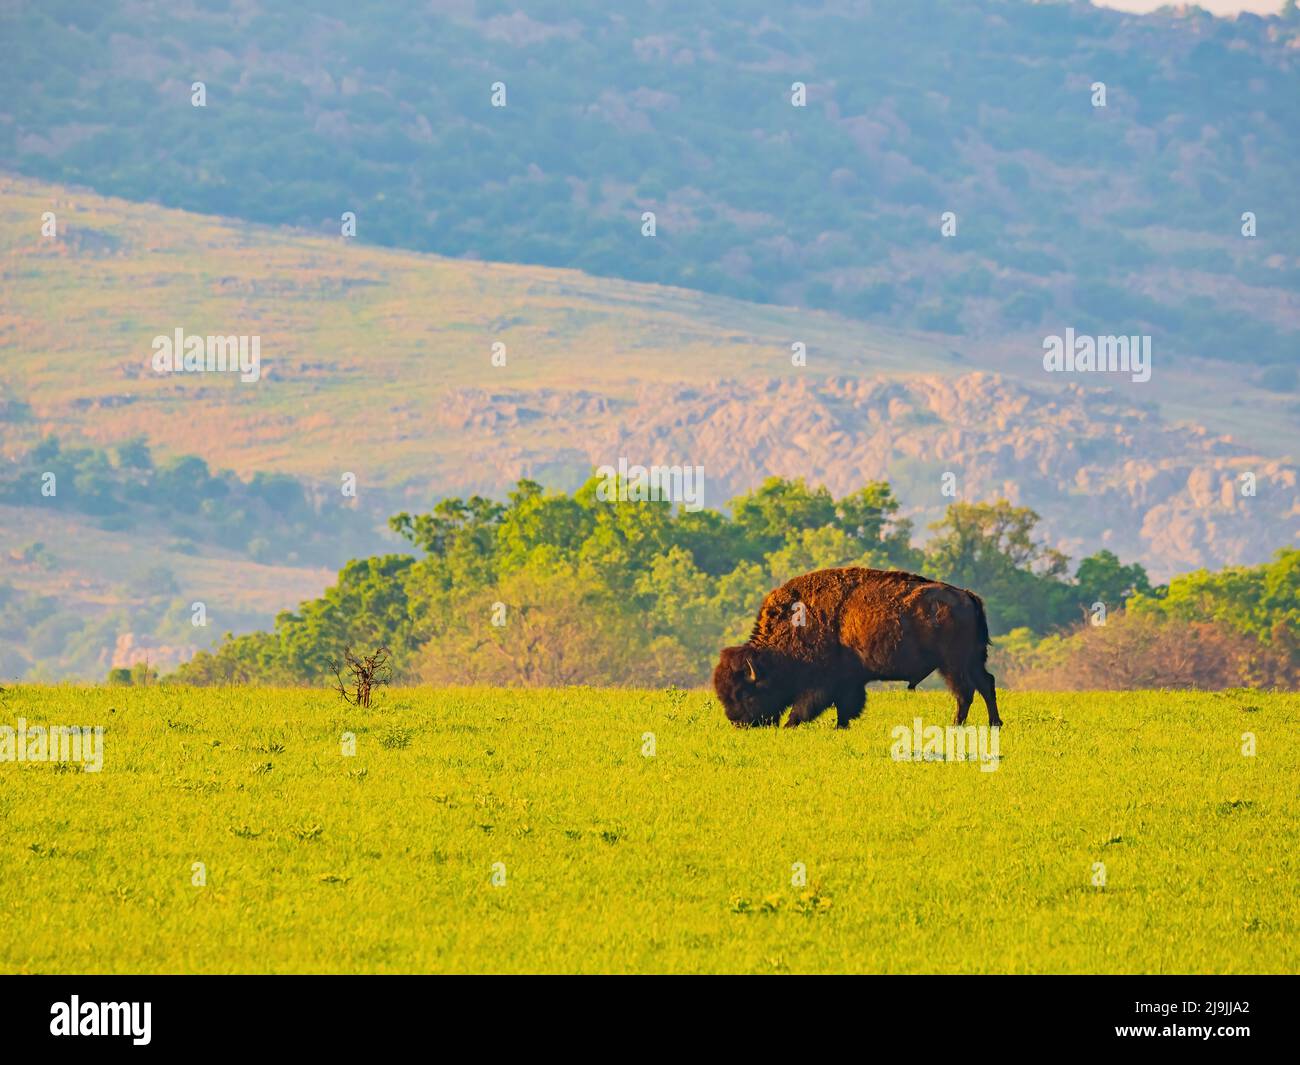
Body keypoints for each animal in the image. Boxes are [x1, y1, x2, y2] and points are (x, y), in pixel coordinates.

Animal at [713, 567, 1001, 729]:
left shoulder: (822, 682)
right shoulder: (848, 681)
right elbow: (845, 705)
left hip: (953, 664)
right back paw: (995, 724)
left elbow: (806, 706)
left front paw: (789, 725)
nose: (737, 722)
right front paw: (841, 726)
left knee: (965, 692)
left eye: (744, 693)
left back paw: (956, 725)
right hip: (973, 661)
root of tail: (967, 596)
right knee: (986, 684)